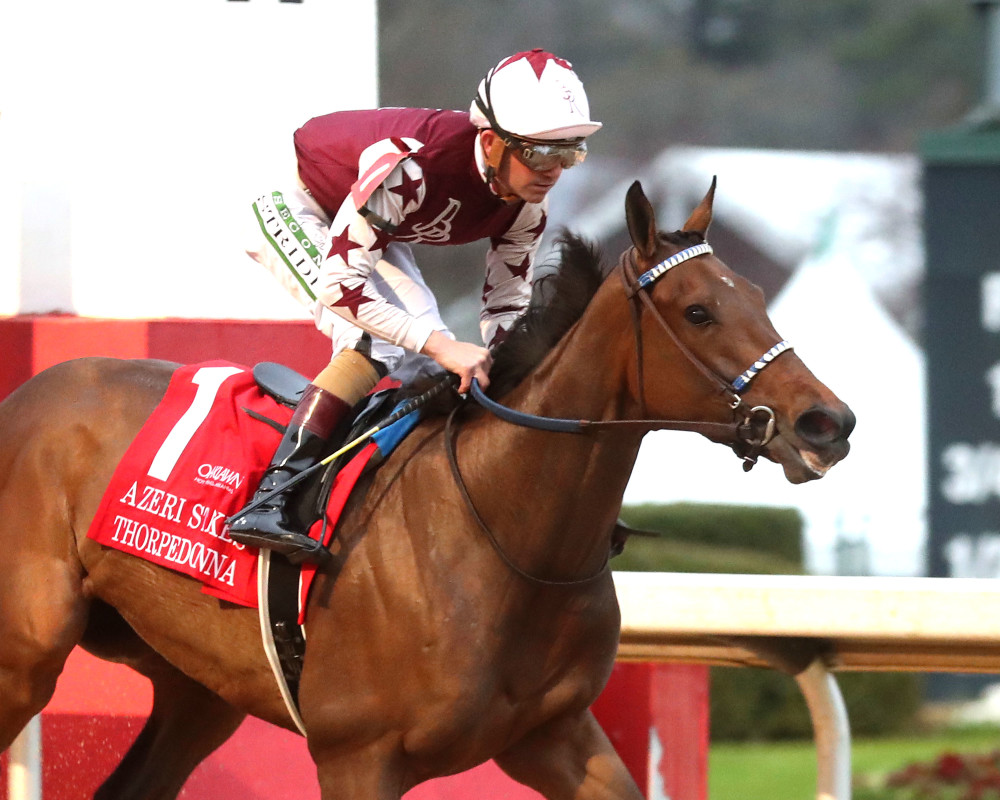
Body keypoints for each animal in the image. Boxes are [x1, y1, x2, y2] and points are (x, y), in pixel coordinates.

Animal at [0, 180, 854, 800]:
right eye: (699, 311)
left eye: (758, 295)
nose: (827, 421)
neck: (504, 536)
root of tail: (28, 392)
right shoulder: (358, 756)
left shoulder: (556, 736)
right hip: (27, 653)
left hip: (195, 689)